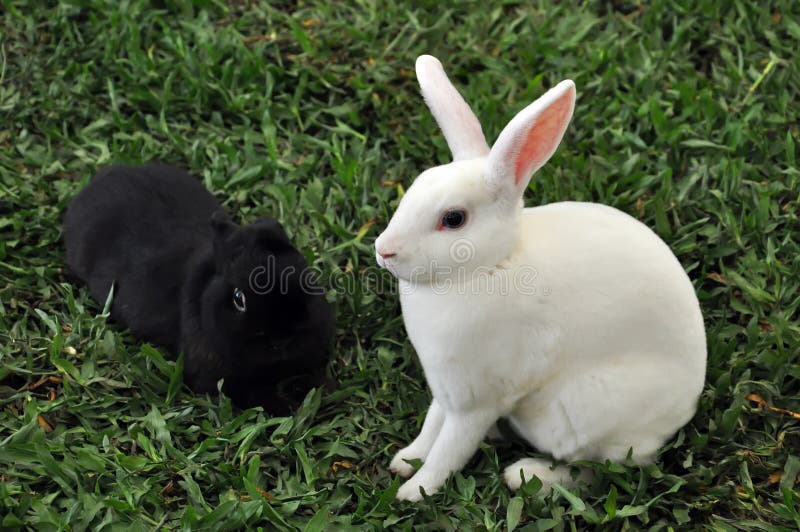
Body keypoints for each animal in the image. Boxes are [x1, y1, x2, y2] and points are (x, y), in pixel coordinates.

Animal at [374, 56, 707, 502]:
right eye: (413, 188)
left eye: (454, 218)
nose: (384, 249)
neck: (492, 265)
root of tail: (680, 414)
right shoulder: (447, 391)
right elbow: (431, 427)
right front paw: (405, 459)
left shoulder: (477, 400)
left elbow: (450, 449)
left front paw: (416, 491)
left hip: (578, 415)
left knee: (601, 473)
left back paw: (526, 475)